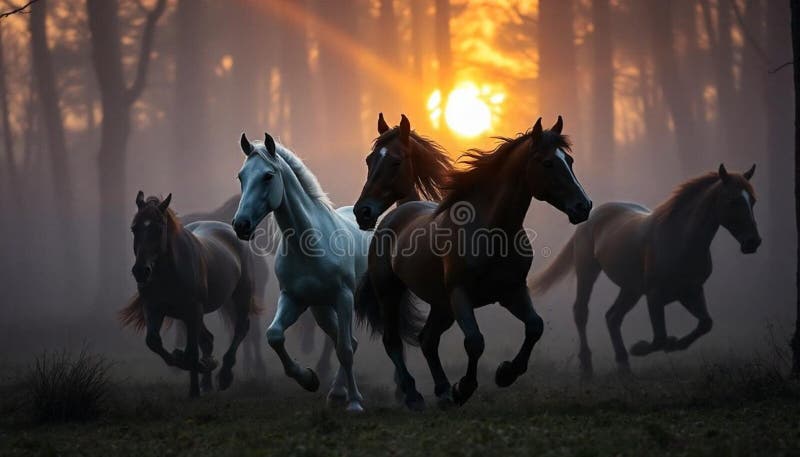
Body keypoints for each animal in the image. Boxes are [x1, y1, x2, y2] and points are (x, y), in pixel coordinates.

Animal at [120, 192, 259, 397]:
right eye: (134, 228)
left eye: (158, 228)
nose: (141, 271)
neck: (169, 273)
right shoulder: (154, 309)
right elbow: (154, 342)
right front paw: (198, 366)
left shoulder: (193, 311)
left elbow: (191, 352)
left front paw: (195, 389)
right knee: (207, 340)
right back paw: (207, 383)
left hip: (240, 296)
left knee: (241, 328)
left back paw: (224, 376)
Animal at [232, 132, 370, 412]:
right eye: (241, 176)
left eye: (268, 176)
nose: (241, 225)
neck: (309, 244)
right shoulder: (294, 299)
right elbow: (274, 335)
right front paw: (308, 379)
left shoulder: (344, 298)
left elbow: (345, 350)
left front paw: (354, 404)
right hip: (322, 310)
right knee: (347, 341)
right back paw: (336, 392)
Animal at [356, 117, 592, 410]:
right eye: (547, 163)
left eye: (568, 160)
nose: (583, 206)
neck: (492, 231)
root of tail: (401, 211)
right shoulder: (461, 294)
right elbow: (475, 342)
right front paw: (465, 388)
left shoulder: (511, 291)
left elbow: (535, 327)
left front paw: (505, 374)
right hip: (390, 292)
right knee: (393, 342)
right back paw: (414, 396)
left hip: (441, 305)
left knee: (427, 340)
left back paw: (443, 391)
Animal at [529, 164, 761, 377]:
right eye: (733, 201)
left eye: (753, 201)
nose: (753, 242)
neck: (680, 238)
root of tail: (591, 213)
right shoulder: (655, 294)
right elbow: (659, 338)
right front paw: (642, 347)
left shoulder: (690, 291)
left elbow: (705, 323)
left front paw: (676, 344)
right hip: (588, 271)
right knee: (581, 312)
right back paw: (587, 368)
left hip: (631, 289)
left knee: (612, 317)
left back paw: (624, 366)